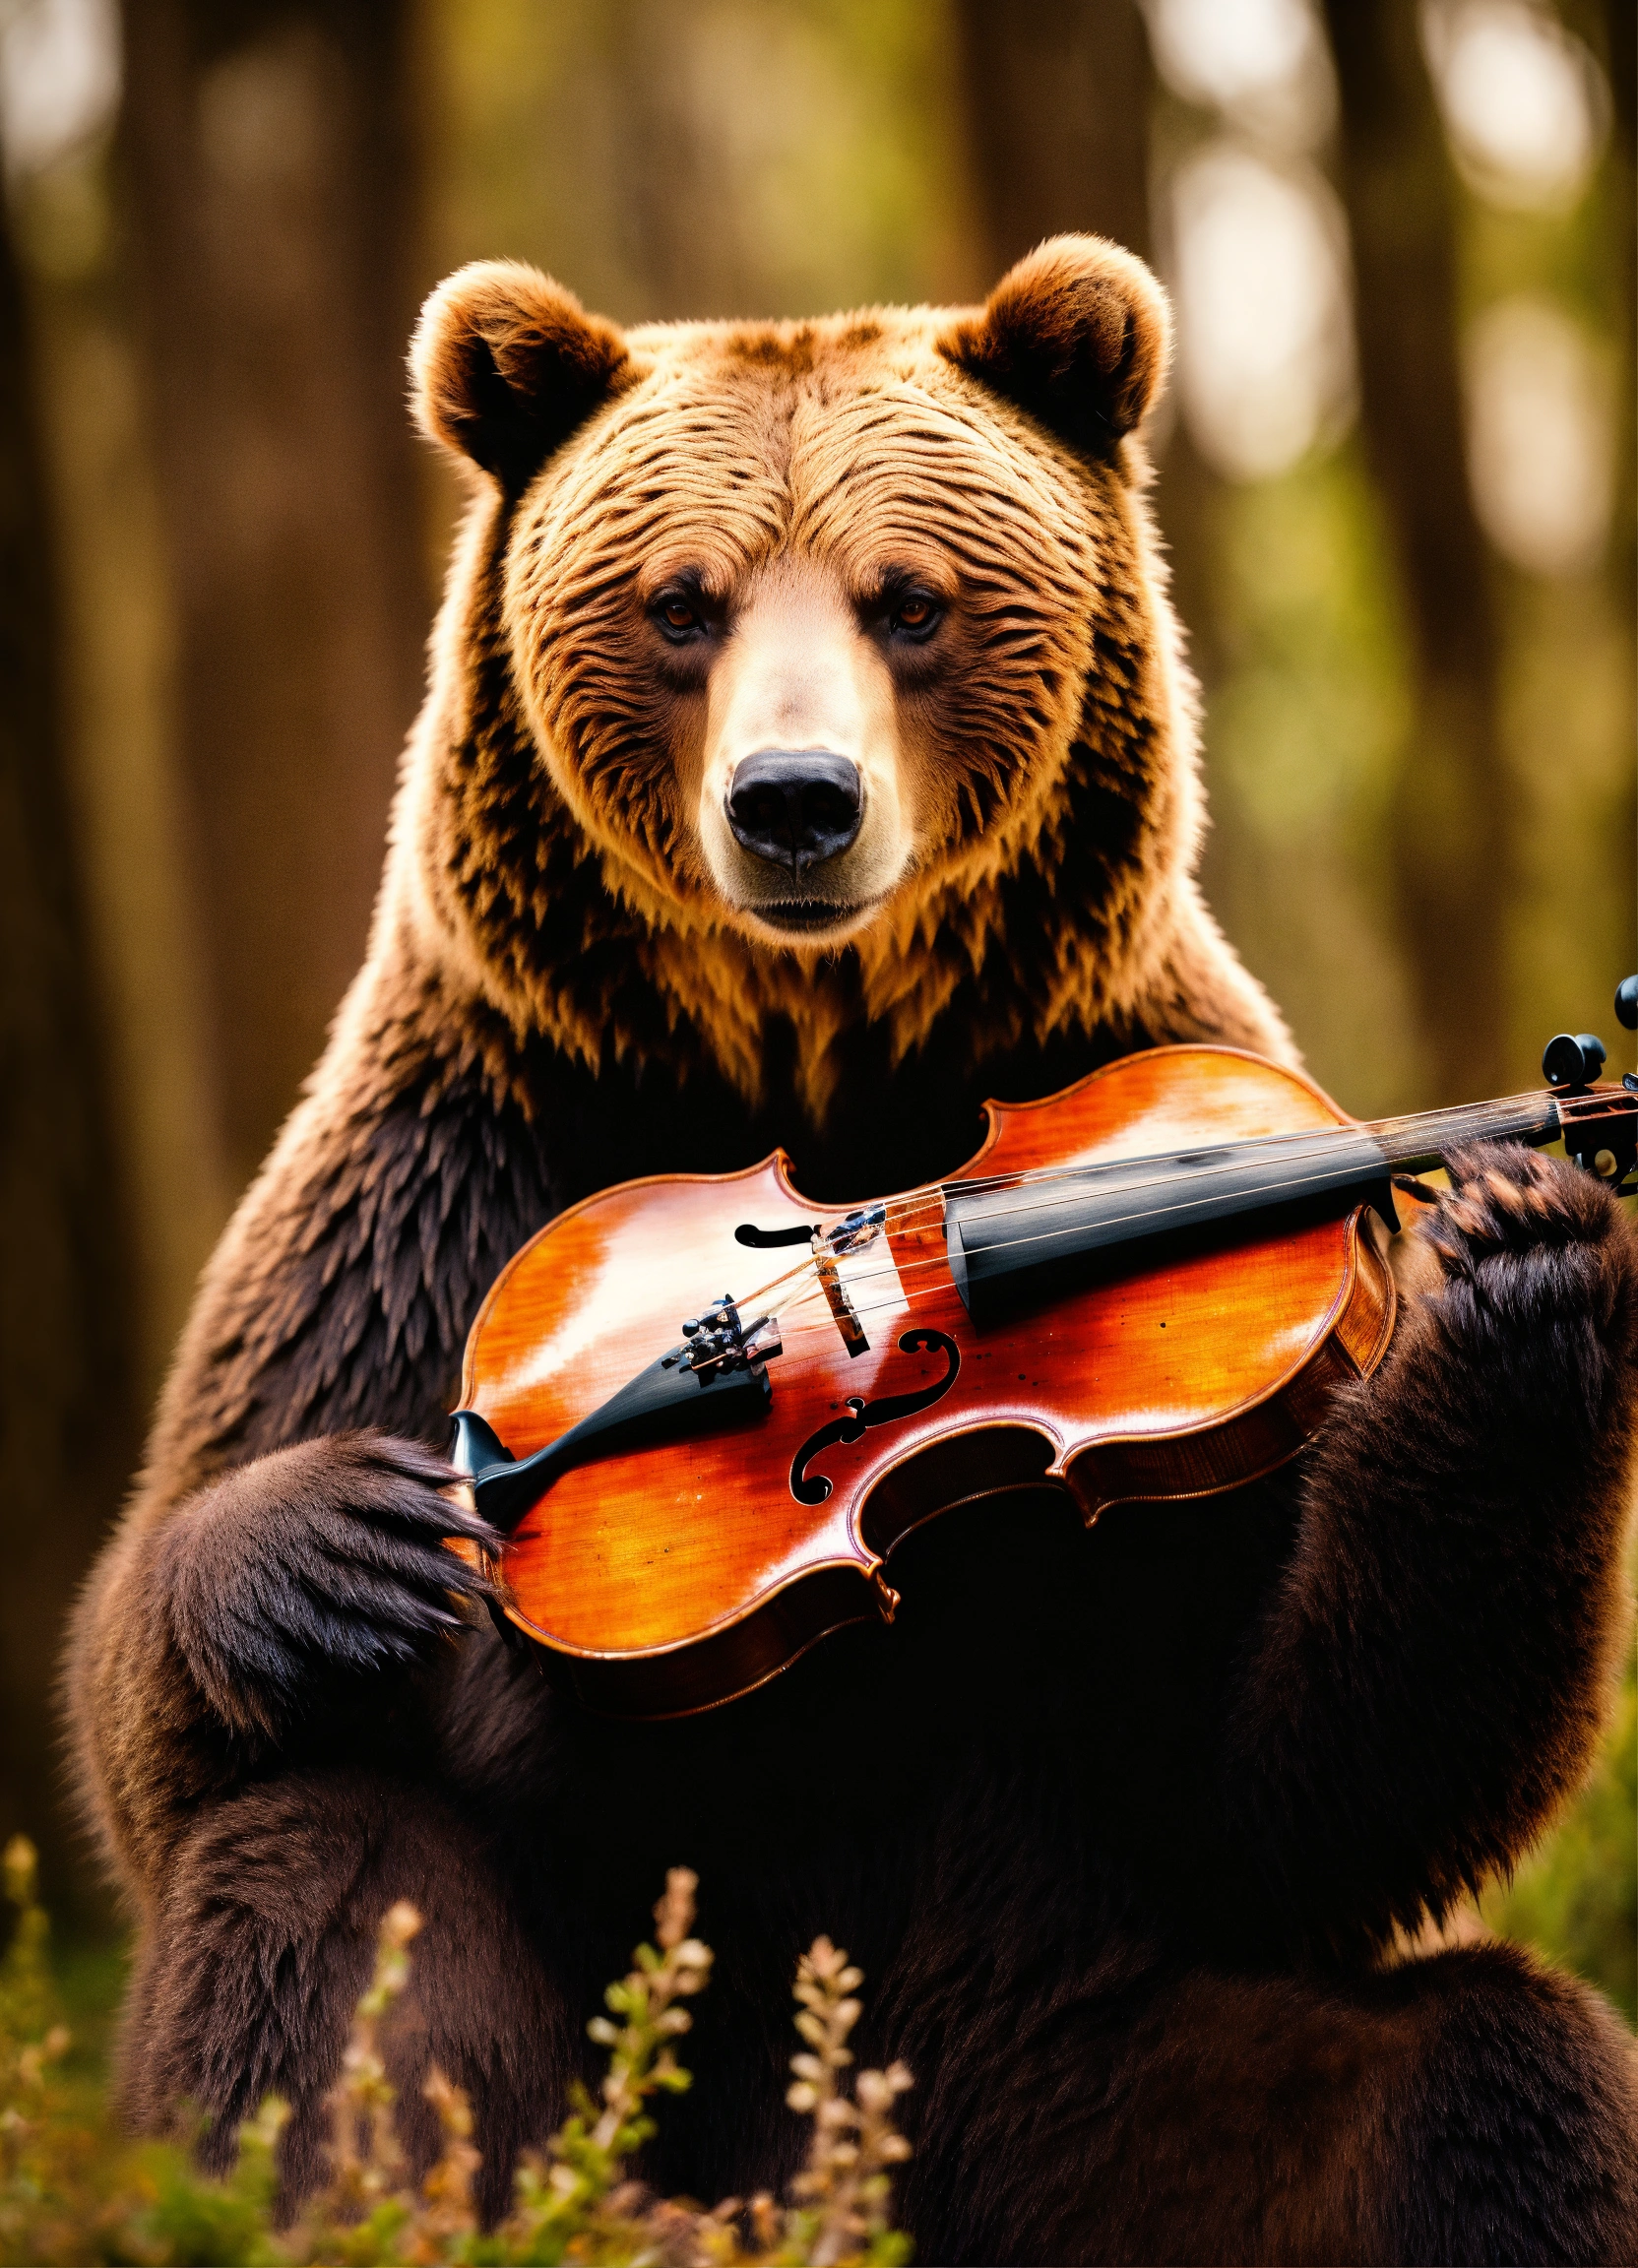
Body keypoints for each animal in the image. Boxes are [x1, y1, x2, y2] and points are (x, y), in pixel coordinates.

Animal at [69, 234, 1638, 2265]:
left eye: (910, 600)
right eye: (679, 602)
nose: (795, 798)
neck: (808, 1061)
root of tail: (847, 2192)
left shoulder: (1148, 1046)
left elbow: (1279, 1773)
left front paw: (1516, 1261)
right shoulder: (446, 1160)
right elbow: (174, 1727)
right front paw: (328, 1530)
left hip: (1083, 2089)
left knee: (1483, 2077)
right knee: (324, 1879)